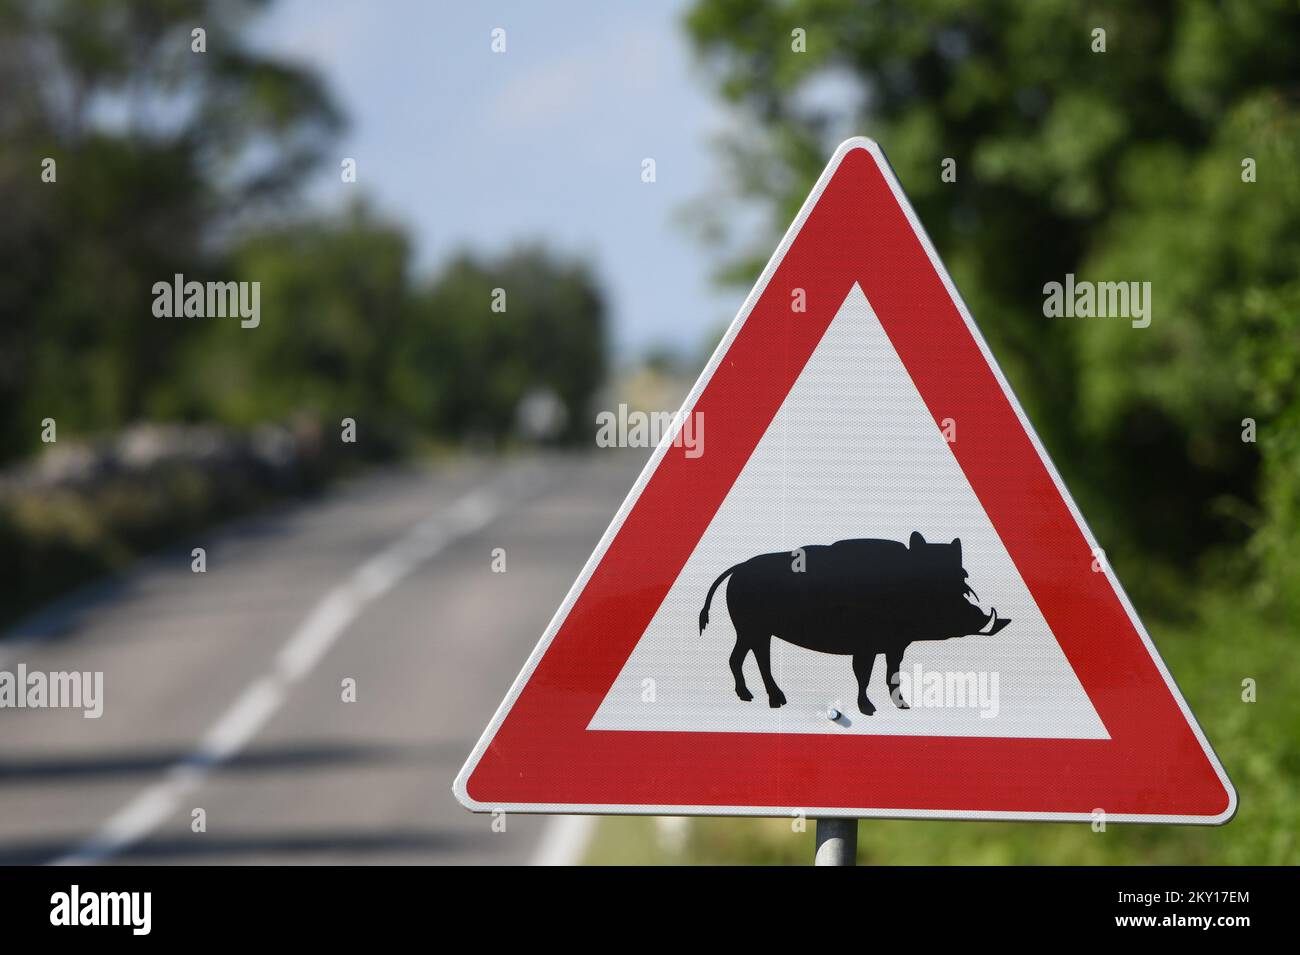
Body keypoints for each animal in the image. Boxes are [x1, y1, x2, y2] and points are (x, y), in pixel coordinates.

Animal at [698, 533, 1010, 715]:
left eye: (963, 577)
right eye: (929, 580)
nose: (984, 617)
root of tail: (738, 568)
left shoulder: (895, 646)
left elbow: (892, 674)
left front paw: (903, 706)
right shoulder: (865, 646)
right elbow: (863, 675)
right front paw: (868, 709)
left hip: (752, 631)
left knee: (742, 657)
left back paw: (756, 697)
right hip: (754, 630)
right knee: (754, 658)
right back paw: (770, 699)